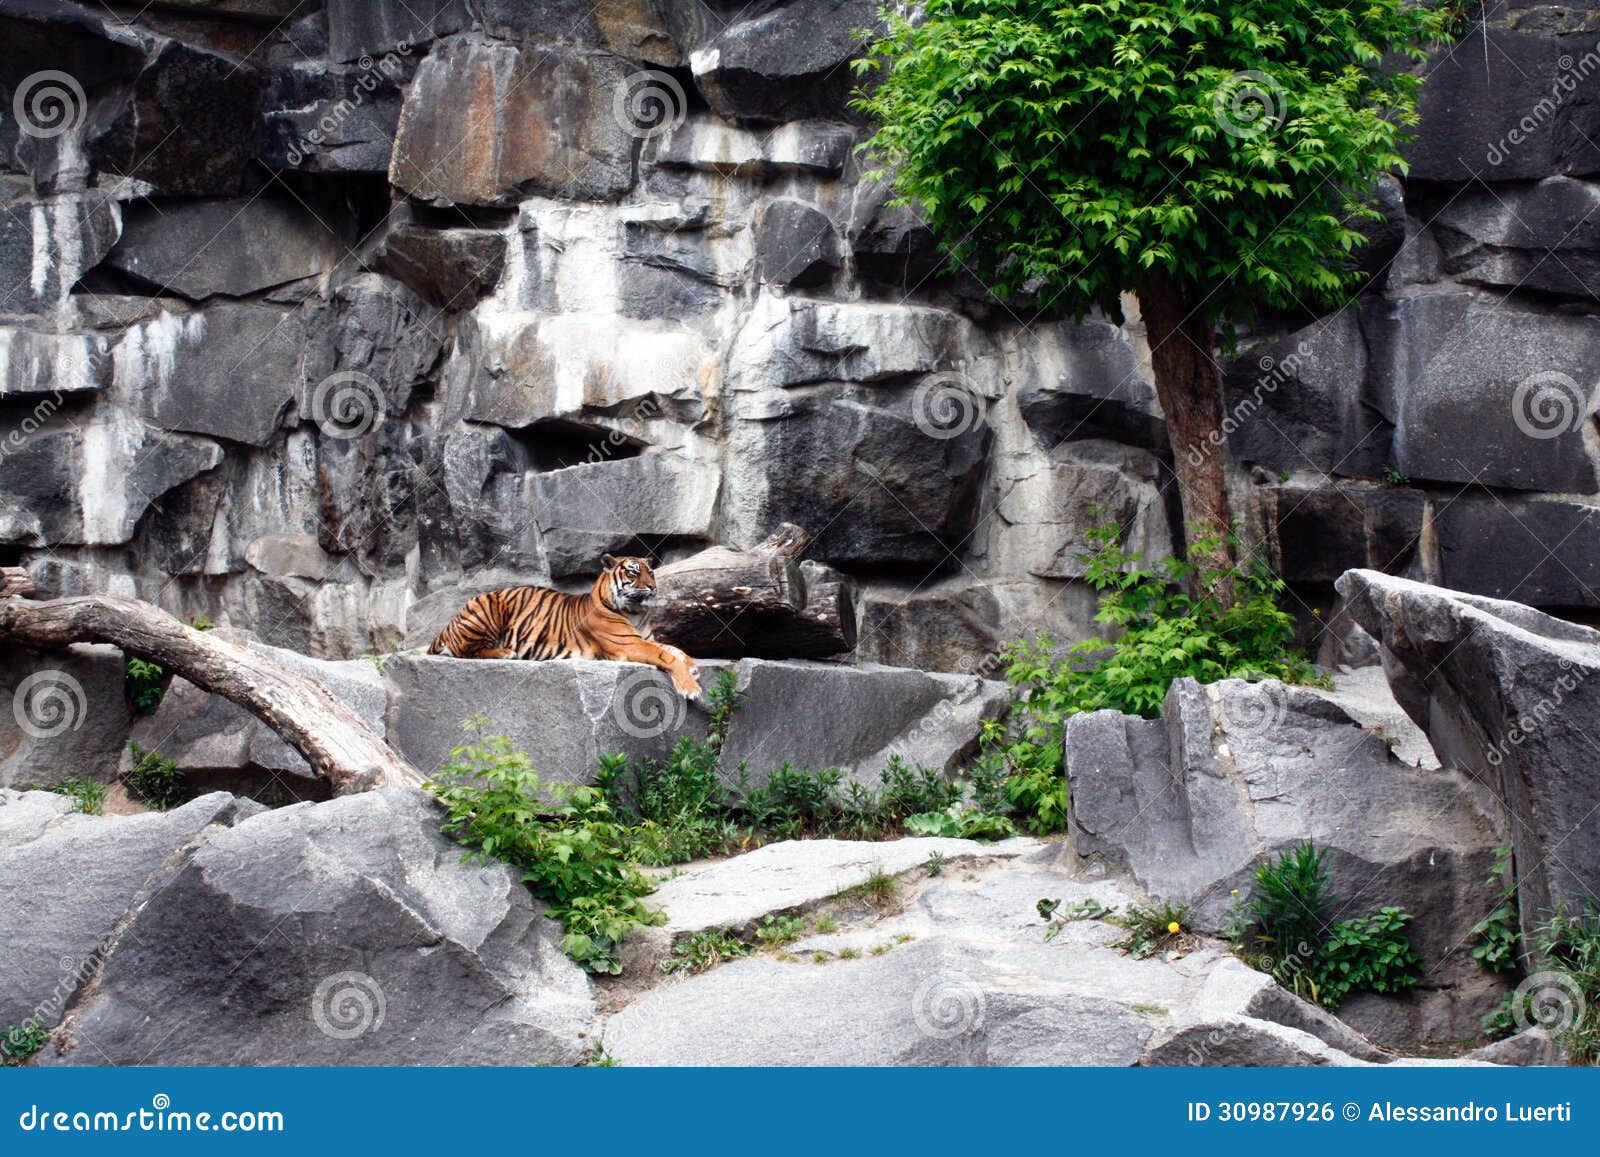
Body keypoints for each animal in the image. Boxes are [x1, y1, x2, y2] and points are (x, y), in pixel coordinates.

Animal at [426, 554, 702, 698]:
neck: (636, 612)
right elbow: (666, 655)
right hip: (487, 607)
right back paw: (505, 652)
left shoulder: (645, 638)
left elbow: (674, 649)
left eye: (651, 572)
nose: (653, 587)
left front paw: (692, 666)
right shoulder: (629, 644)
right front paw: (691, 688)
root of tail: (449, 624)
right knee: (465, 651)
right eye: (634, 573)